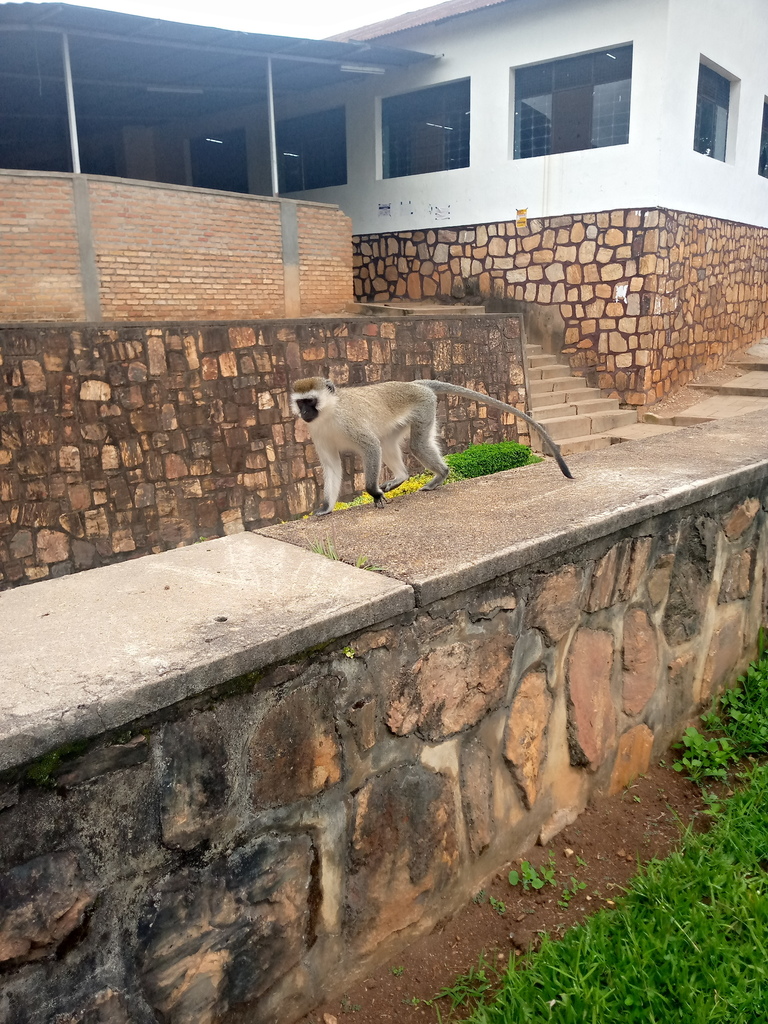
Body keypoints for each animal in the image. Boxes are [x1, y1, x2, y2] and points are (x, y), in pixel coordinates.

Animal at [290, 377, 573, 516]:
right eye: (301, 402)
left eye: (310, 401)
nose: (304, 413)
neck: (329, 412)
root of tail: (414, 384)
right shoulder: (317, 432)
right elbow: (332, 466)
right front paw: (326, 508)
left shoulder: (350, 423)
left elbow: (370, 447)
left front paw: (374, 493)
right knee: (390, 442)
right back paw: (402, 477)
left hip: (424, 407)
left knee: (415, 444)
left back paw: (441, 475)